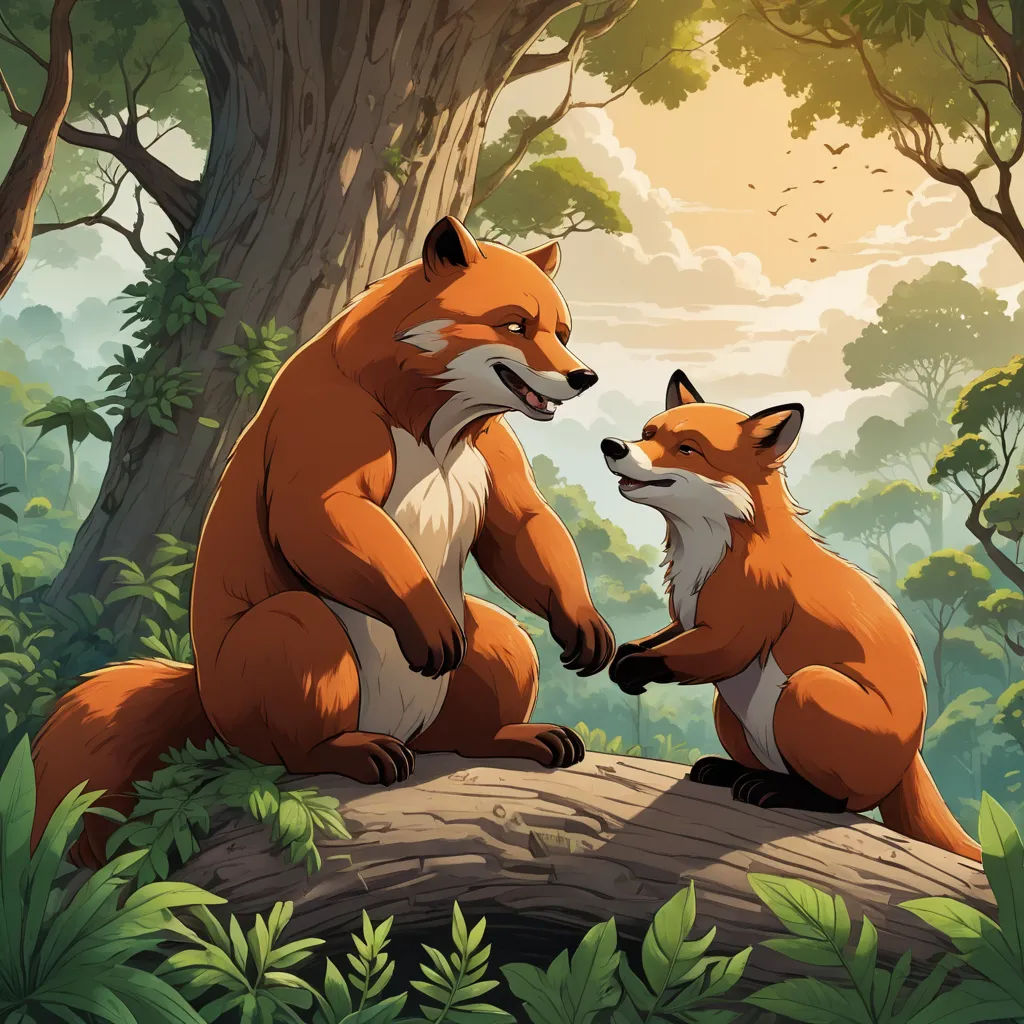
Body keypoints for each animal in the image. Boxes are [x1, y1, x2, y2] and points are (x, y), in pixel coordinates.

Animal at [32, 215, 615, 868]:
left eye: (562, 331)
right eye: (515, 324)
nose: (584, 377)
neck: (436, 429)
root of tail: (202, 694)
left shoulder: (496, 464)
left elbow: (526, 528)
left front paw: (585, 622)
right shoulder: (323, 449)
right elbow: (324, 523)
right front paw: (427, 622)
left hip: (496, 642)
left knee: (471, 719)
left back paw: (522, 735)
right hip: (299, 634)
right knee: (294, 748)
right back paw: (356, 751)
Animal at [600, 370, 982, 862]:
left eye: (686, 448)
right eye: (647, 434)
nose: (611, 445)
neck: (711, 551)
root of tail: (911, 758)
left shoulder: (738, 627)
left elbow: (698, 652)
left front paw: (633, 669)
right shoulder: (686, 619)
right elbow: (654, 640)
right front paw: (622, 659)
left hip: (808, 689)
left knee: (844, 801)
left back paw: (780, 791)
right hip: (729, 712)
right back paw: (731, 772)